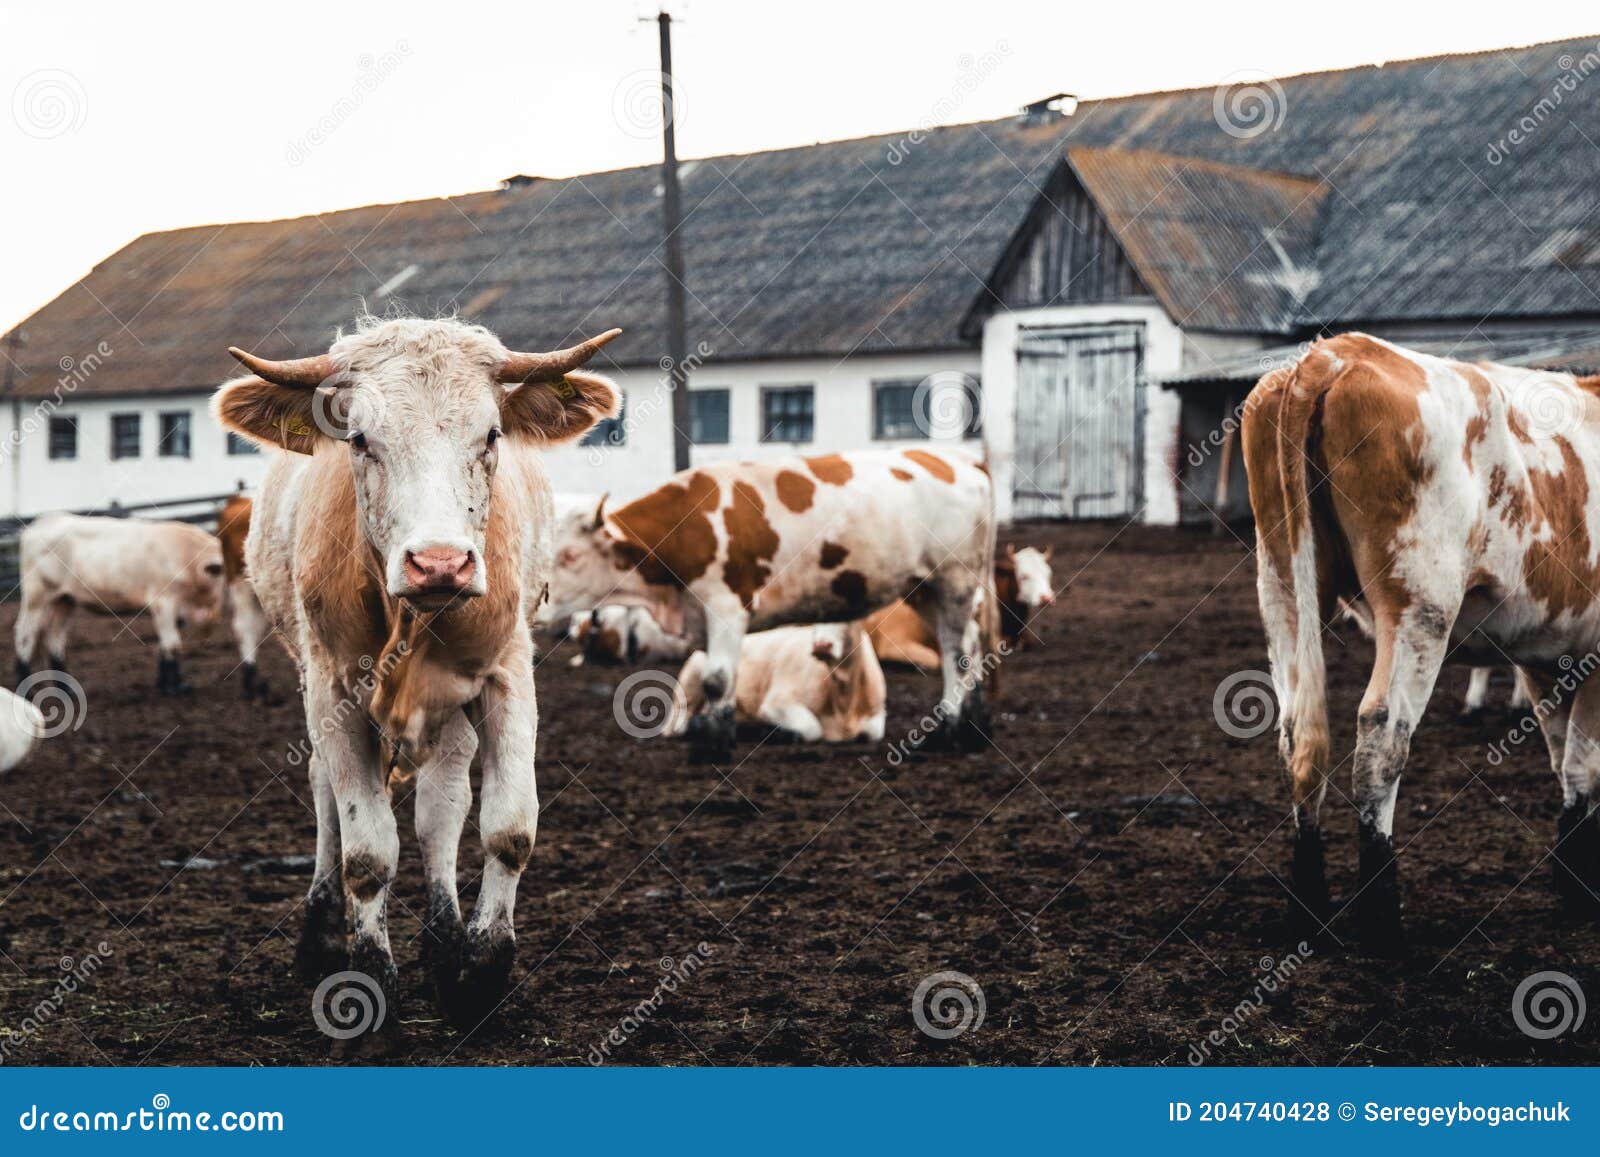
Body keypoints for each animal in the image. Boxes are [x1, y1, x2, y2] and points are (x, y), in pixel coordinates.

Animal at [15, 513, 227, 695]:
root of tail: (46, 520)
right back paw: (25, 690)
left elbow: (164, 645)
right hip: (36, 598)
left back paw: (66, 688)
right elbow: (172, 644)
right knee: (25, 635)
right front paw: (174, 689)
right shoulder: (164, 603)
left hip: (65, 600)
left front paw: (168, 684)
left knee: (55, 637)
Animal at [665, 621, 886, 743]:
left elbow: (871, 732)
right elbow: (811, 727)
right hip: (691, 681)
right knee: (678, 724)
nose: (821, 645)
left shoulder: (878, 712)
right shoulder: (776, 702)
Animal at [1243, 332, 1600, 951]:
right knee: (1382, 734)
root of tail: (1335, 353)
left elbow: (1564, 758)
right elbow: (1584, 762)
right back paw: (1381, 915)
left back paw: (1308, 907)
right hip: (1419, 603)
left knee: (1299, 739)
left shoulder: (1549, 653)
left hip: (1283, 581)